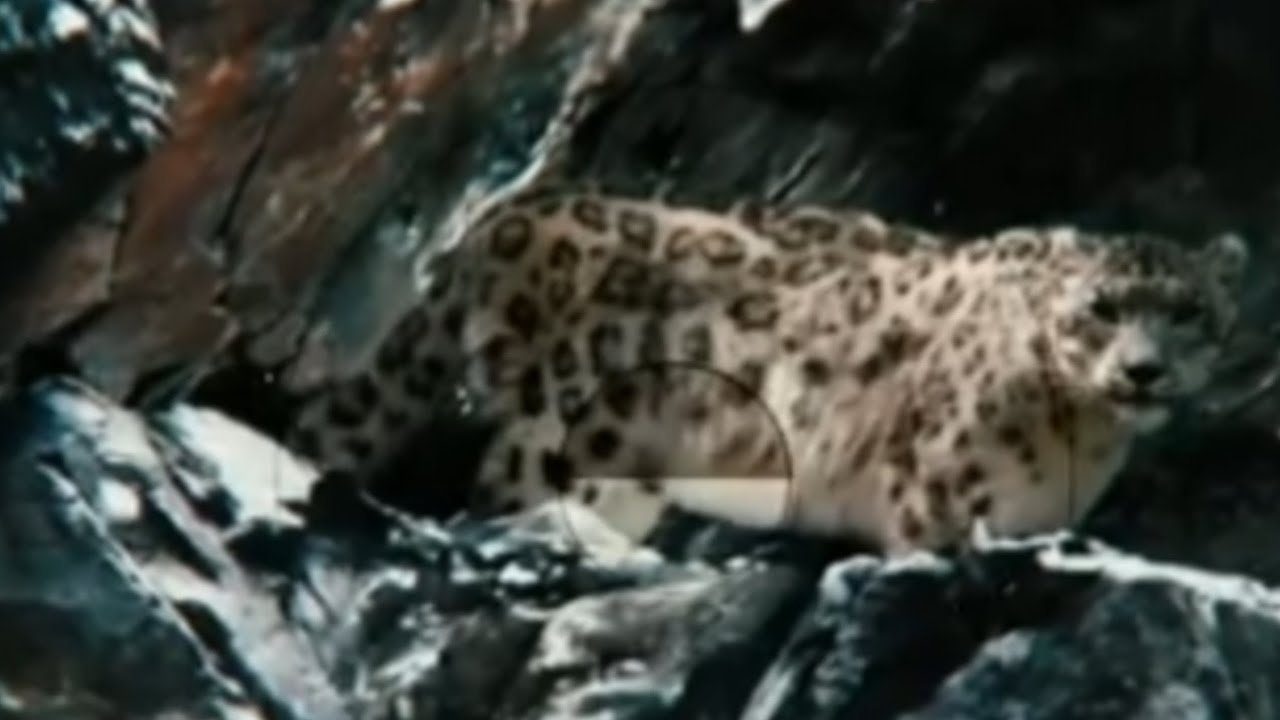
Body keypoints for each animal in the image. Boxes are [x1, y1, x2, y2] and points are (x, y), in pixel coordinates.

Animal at [286, 185, 1249, 556]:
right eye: (1103, 308)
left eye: (1189, 313)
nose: (1144, 372)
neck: (1082, 442)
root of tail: (512, 213)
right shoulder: (934, 499)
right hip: (566, 424)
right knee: (502, 493)